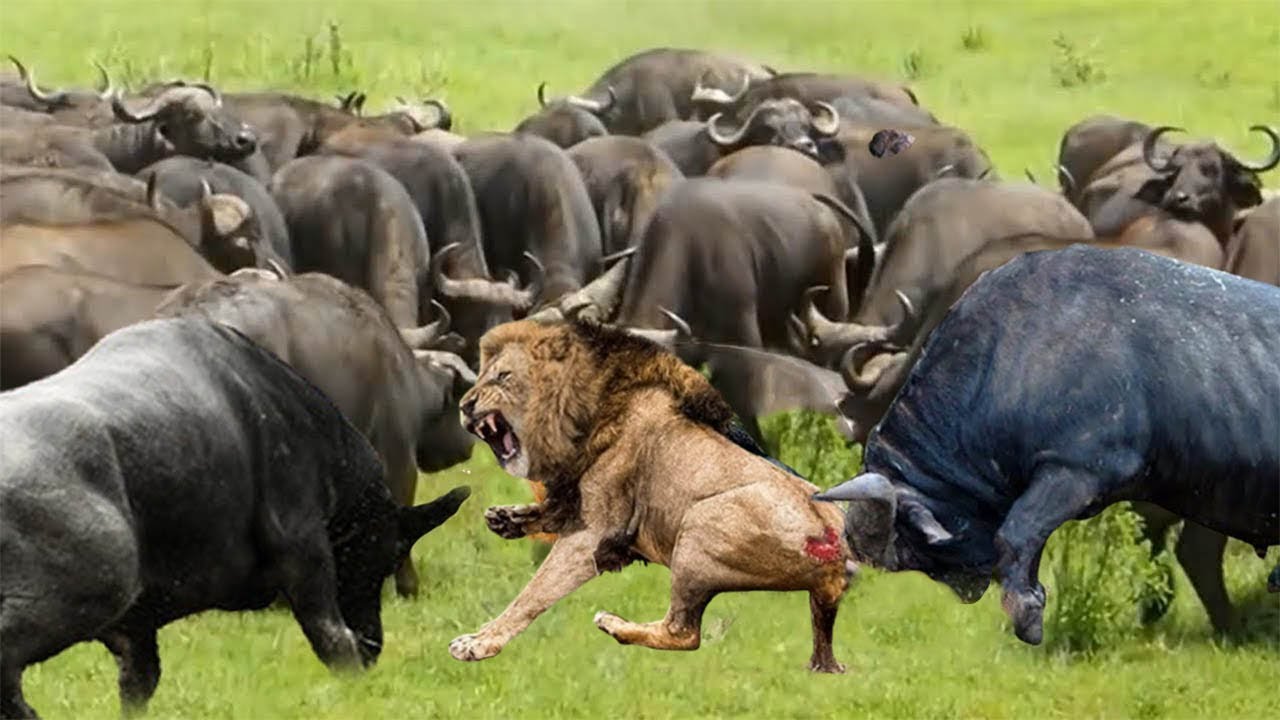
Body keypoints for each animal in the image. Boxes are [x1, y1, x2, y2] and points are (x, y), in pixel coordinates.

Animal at [450, 317, 854, 672]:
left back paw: (613, 623)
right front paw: (505, 518)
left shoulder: (595, 535)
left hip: (699, 526)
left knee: (684, 633)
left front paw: (480, 642)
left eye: (503, 376)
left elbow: (533, 594)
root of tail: (838, 545)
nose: (464, 405)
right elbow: (550, 512)